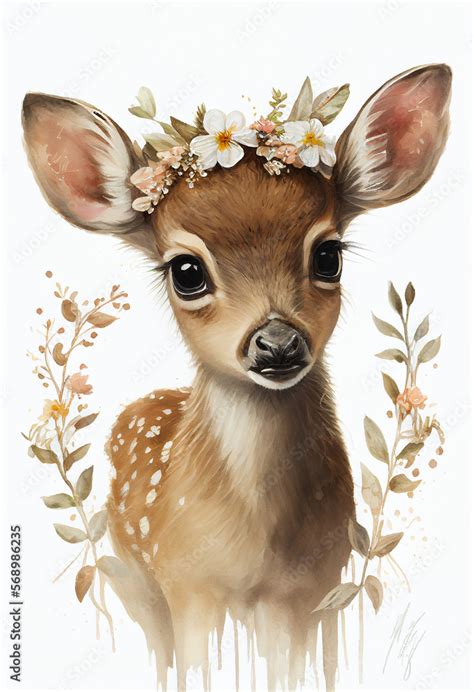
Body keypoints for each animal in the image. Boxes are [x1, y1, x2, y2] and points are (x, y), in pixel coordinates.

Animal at [22, 64, 451, 692]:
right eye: (186, 270)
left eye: (329, 255)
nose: (277, 343)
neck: (256, 549)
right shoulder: (186, 582)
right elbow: (199, 664)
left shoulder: (316, 586)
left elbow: (292, 669)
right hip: (132, 578)